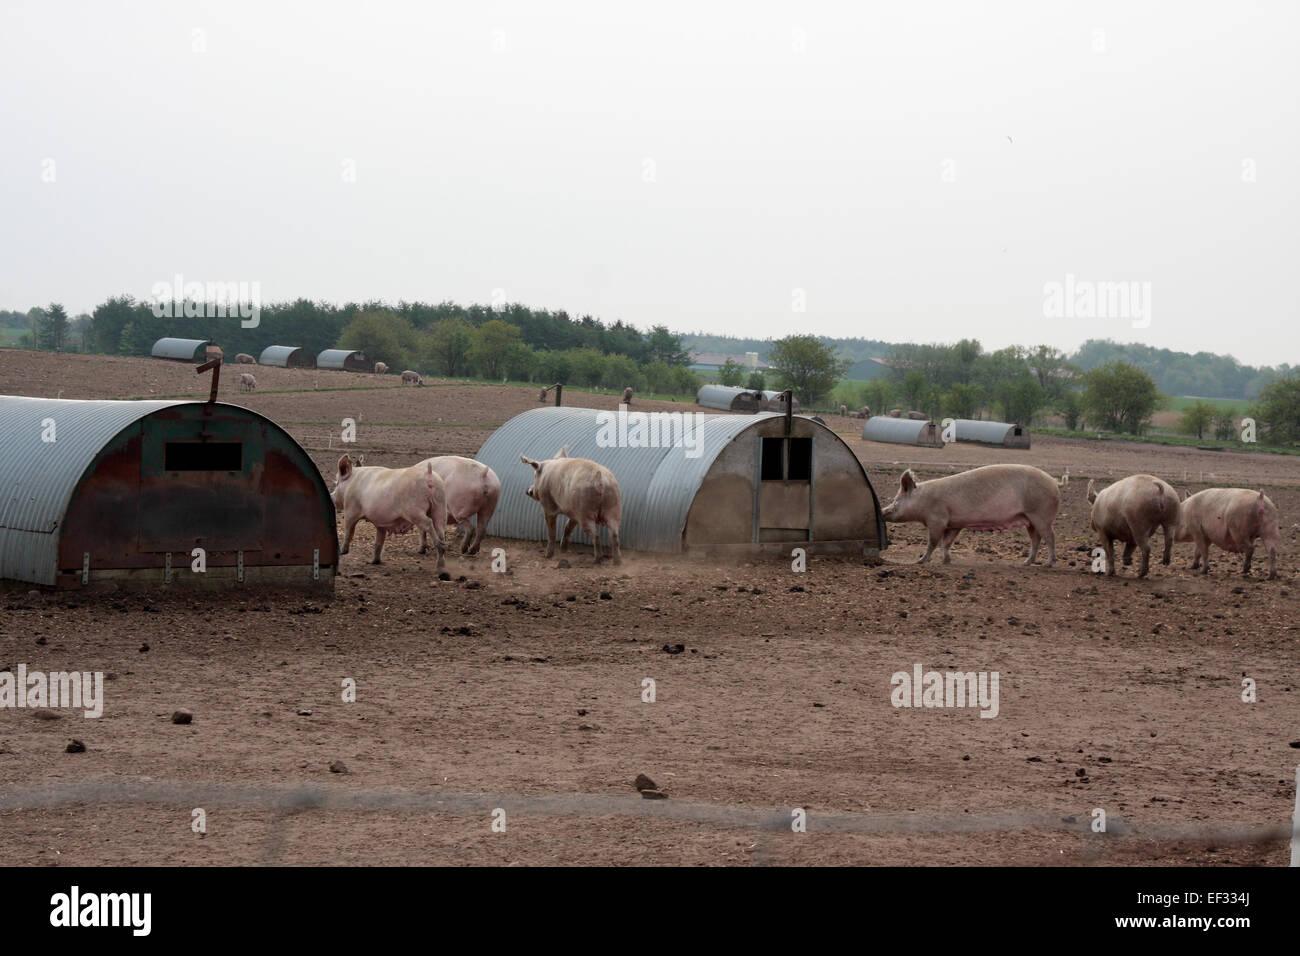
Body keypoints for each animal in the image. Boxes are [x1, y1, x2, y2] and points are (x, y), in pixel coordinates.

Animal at [882, 464, 1060, 566]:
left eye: (896, 500)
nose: (883, 511)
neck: (922, 500)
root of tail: (1054, 483)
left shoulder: (937, 520)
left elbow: (932, 542)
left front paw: (920, 561)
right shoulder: (954, 524)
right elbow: (946, 543)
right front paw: (946, 561)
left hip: (1041, 515)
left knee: (1050, 537)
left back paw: (1048, 564)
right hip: (1030, 519)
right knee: (1036, 539)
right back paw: (1026, 562)